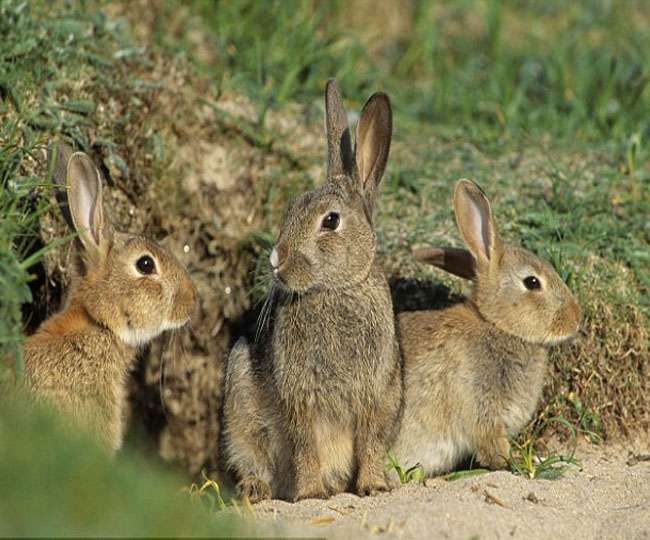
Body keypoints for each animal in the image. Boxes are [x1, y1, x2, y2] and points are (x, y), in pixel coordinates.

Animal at [222, 79, 403, 502]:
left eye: (331, 221)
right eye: (290, 207)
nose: (276, 259)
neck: (335, 289)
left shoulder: (377, 393)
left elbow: (371, 441)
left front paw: (373, 486)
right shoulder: (298, 396)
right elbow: (305, 443)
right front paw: (309, 494)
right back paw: (257, 490)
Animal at [391, 179, 581, 477]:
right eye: (532, 282)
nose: (576, 318)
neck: (495, 324)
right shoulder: (481, 409)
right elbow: (492, 446)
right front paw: (515, 464)